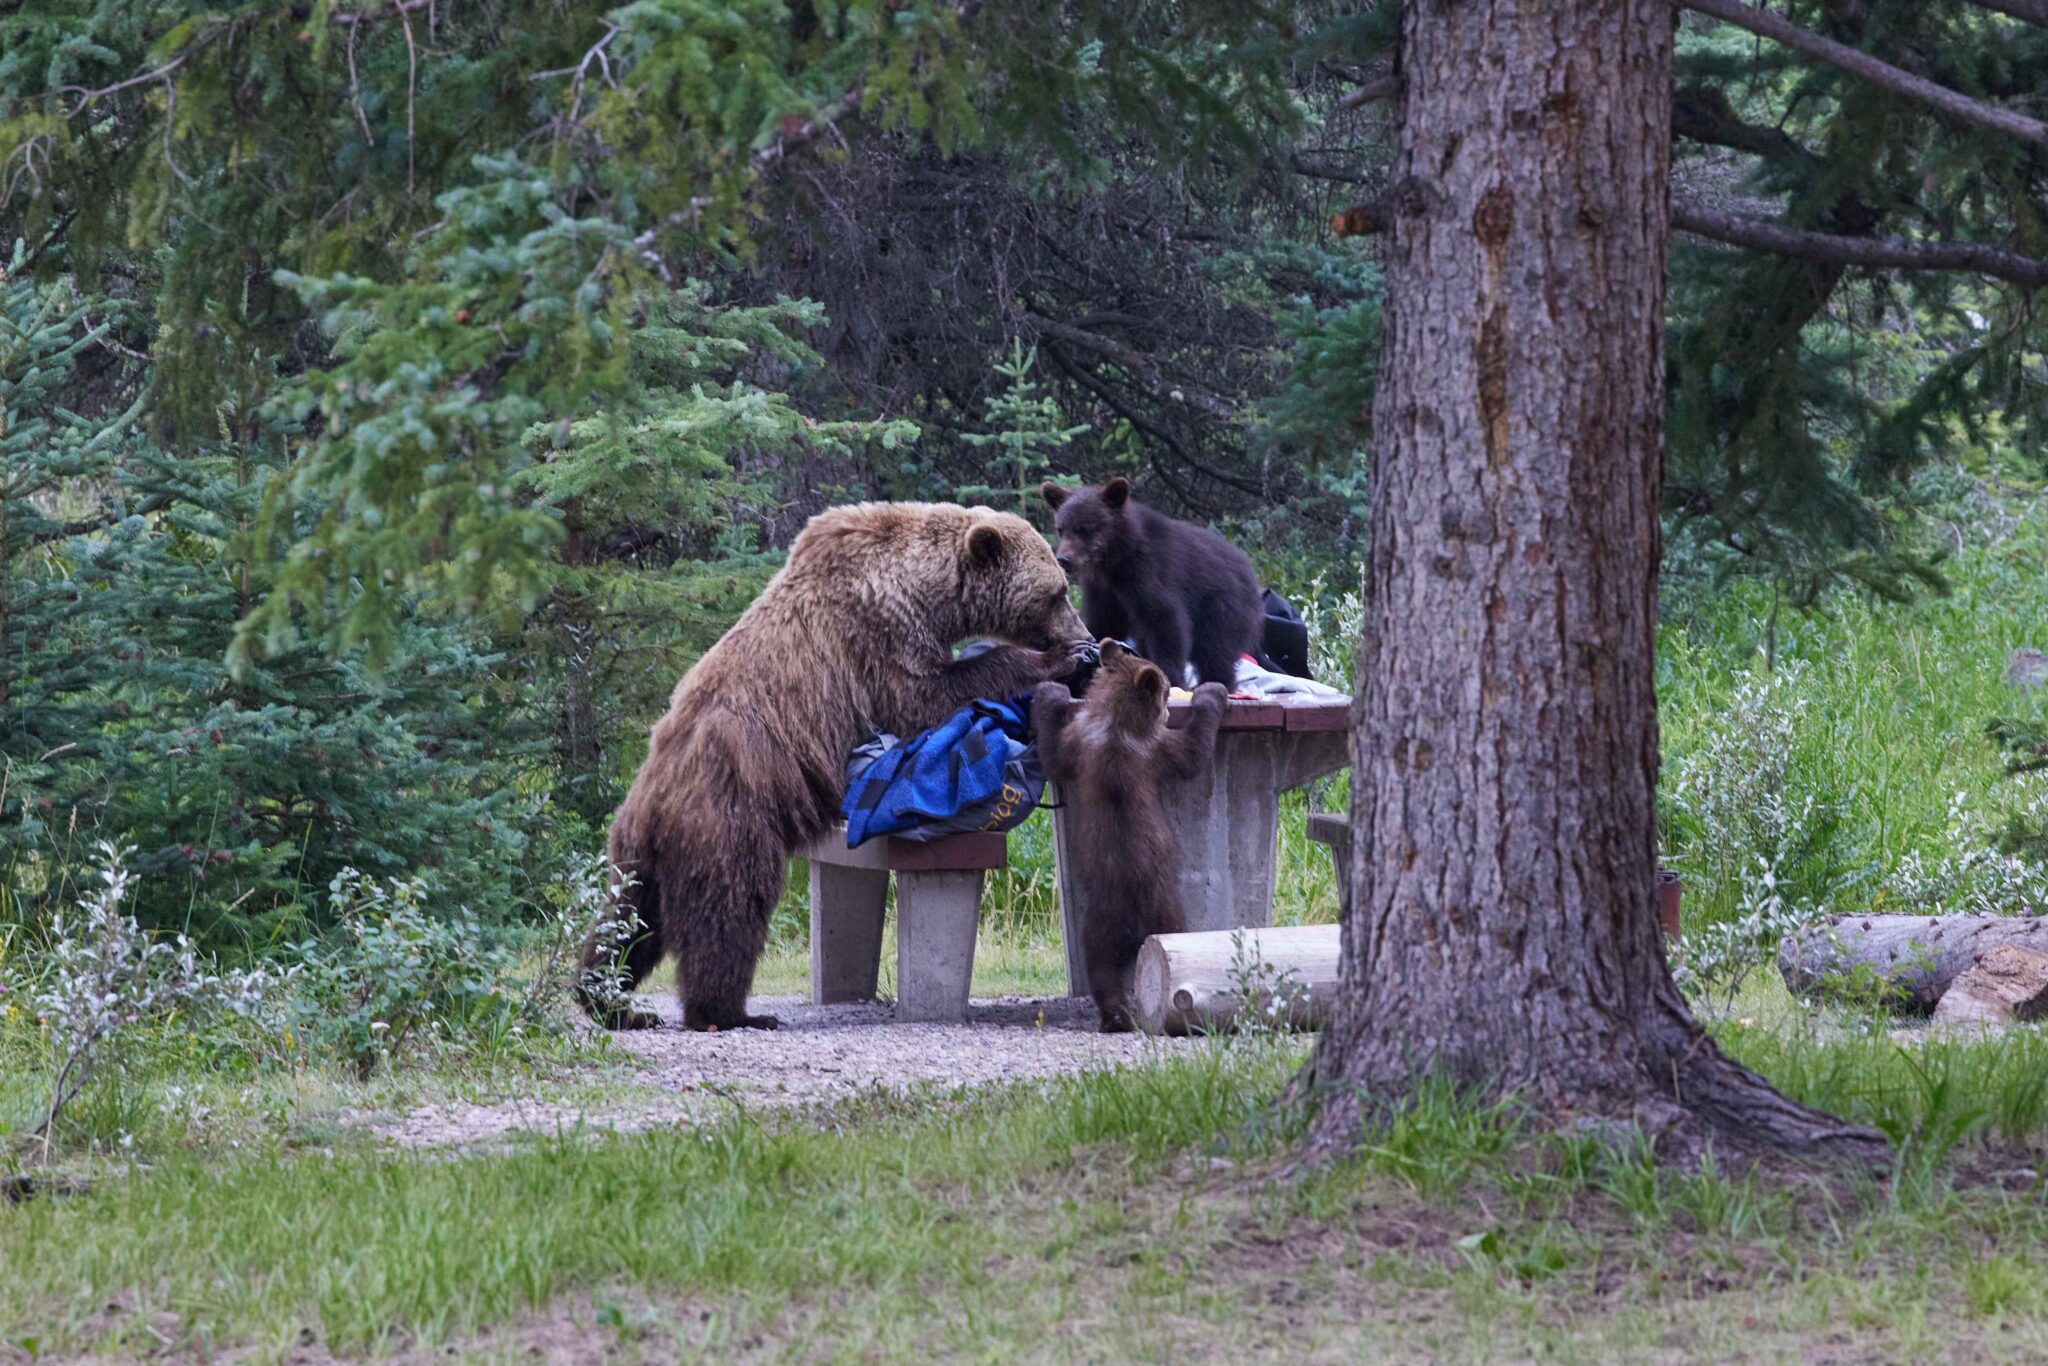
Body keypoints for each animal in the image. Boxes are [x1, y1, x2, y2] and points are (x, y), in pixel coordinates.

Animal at [578, 502, 1092, 1032]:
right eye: (1056, 592)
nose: (1084, 634)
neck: (925, 588)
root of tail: (652, 807)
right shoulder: (880, 635)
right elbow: (926, 697)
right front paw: (1057, 660)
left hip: (637, 853)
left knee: (626, 923)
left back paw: (608, 1000)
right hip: (727, 821)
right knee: (729, 910)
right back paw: (730, 1011)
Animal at [1031, 640, 1228, 1032]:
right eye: (1165, 692)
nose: (1167, 710)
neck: (1116, 726)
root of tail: (1132, 926)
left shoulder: (1084, 745)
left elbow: (1054, 752)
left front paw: (1049, 692)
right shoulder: (1155, 750)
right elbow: (1193, 754)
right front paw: (1212, 693)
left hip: (1105, 920)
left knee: (1102, 969)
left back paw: (1116, 1017)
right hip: (1157, 910)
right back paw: (1123, 1015)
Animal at [1039, 477, 1262, 690]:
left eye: (1084, 529)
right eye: (1061, 529)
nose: (1064, 559)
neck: (1114, 560)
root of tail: (1250, 571)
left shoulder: (1149, 574)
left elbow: (1164, 619)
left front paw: (1170, 676)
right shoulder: (1103, 590)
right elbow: (1103, 621)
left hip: (1221, 605)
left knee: (1215, 648)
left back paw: (1218, 680)